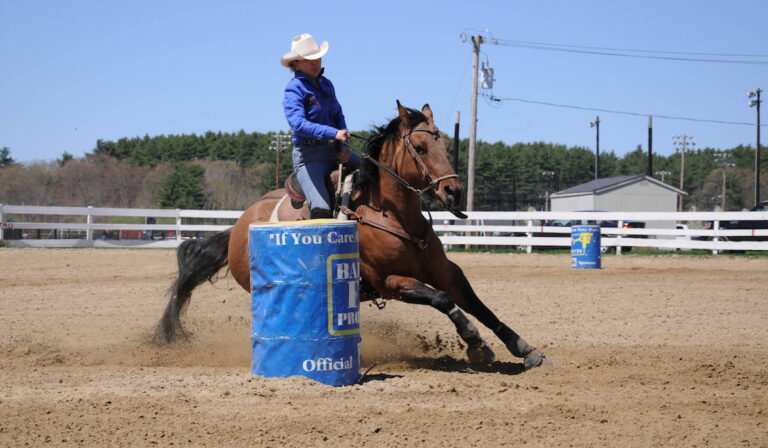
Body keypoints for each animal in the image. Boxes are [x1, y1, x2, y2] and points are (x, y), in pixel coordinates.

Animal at [155, 101, 551, 371]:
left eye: (447, 146)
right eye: (421, 148)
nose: (453, 192)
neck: (395, 218)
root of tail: (238, 226)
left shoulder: (447, 271)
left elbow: (477, 303)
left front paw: (524, 348)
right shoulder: (391, 282)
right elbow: (444, 300)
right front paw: (476, 345)